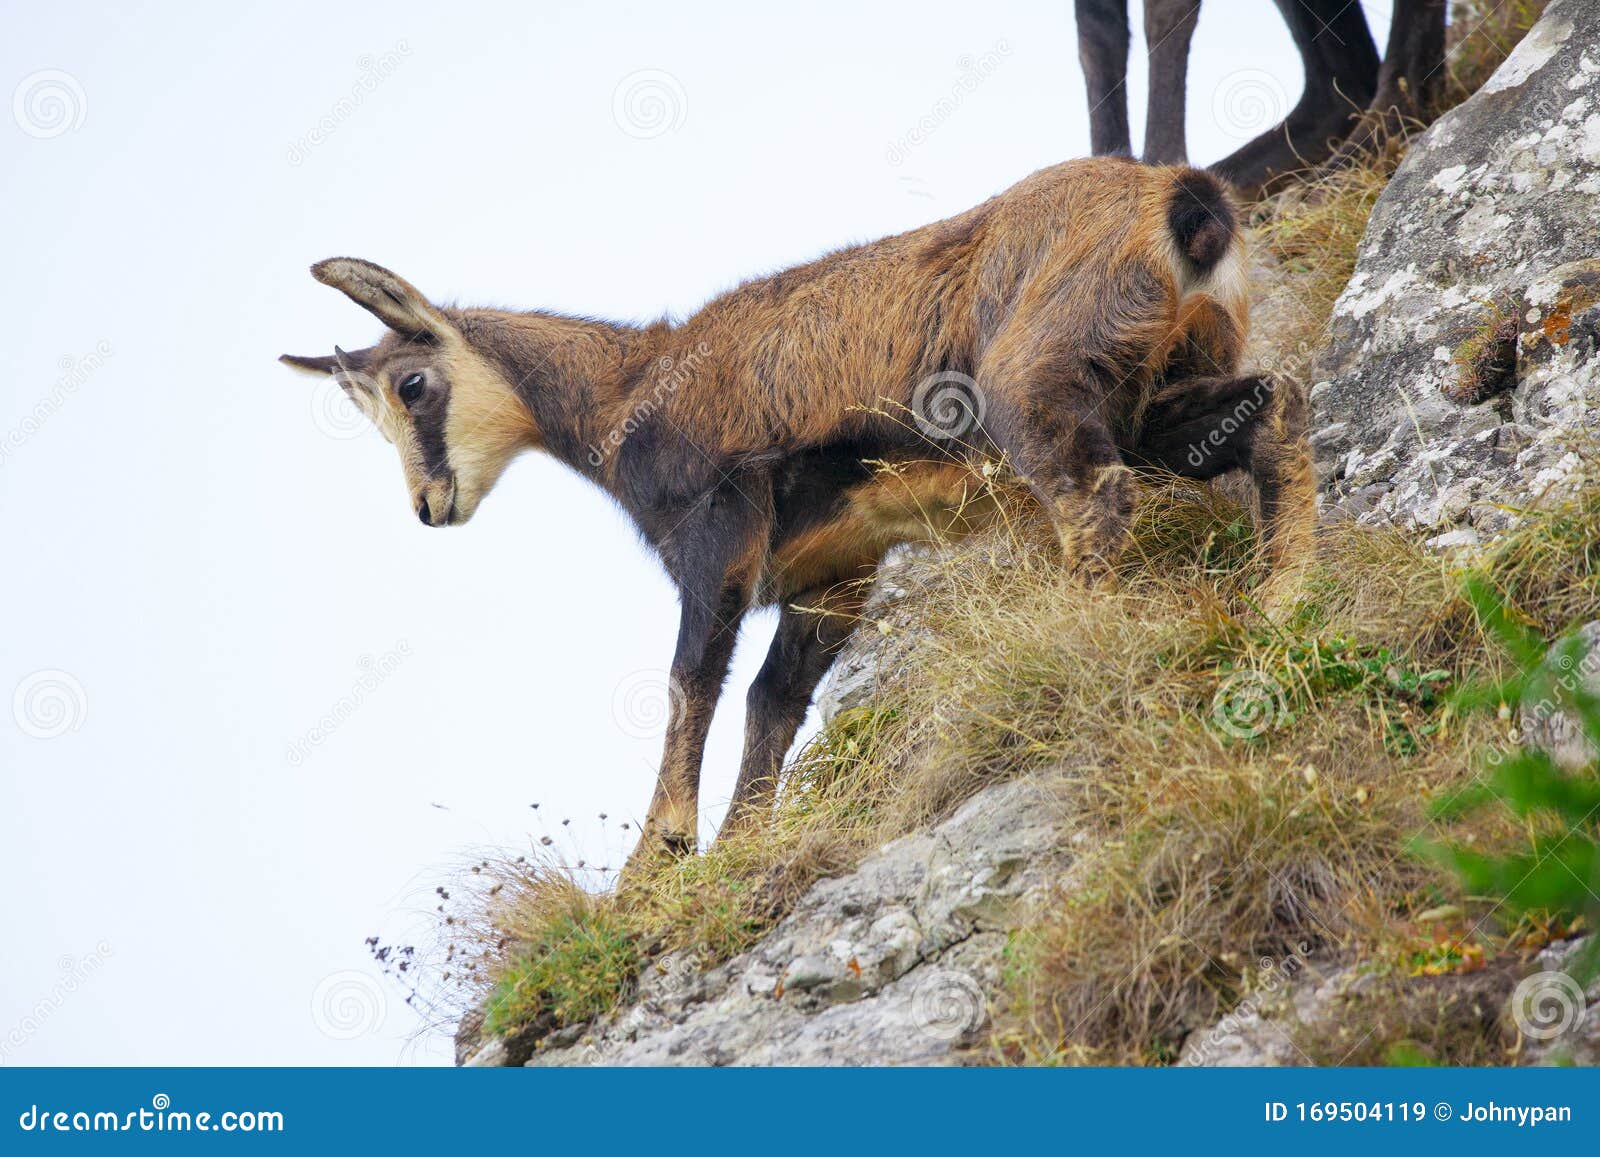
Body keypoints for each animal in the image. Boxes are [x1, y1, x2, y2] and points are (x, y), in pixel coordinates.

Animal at [281, 157, 1314, 871]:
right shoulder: (834, 572)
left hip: (1039, 388)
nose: (429, 505)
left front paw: (658, 855)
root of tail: (1182, 201)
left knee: (1094, 495)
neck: (631, 396)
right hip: (1159, 394)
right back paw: (1284, 596)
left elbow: (690, 682)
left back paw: (1077, 633)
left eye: (414, 385)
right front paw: (739, 843)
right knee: (1271, 410)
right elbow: (770, 700)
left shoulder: (721, 536)